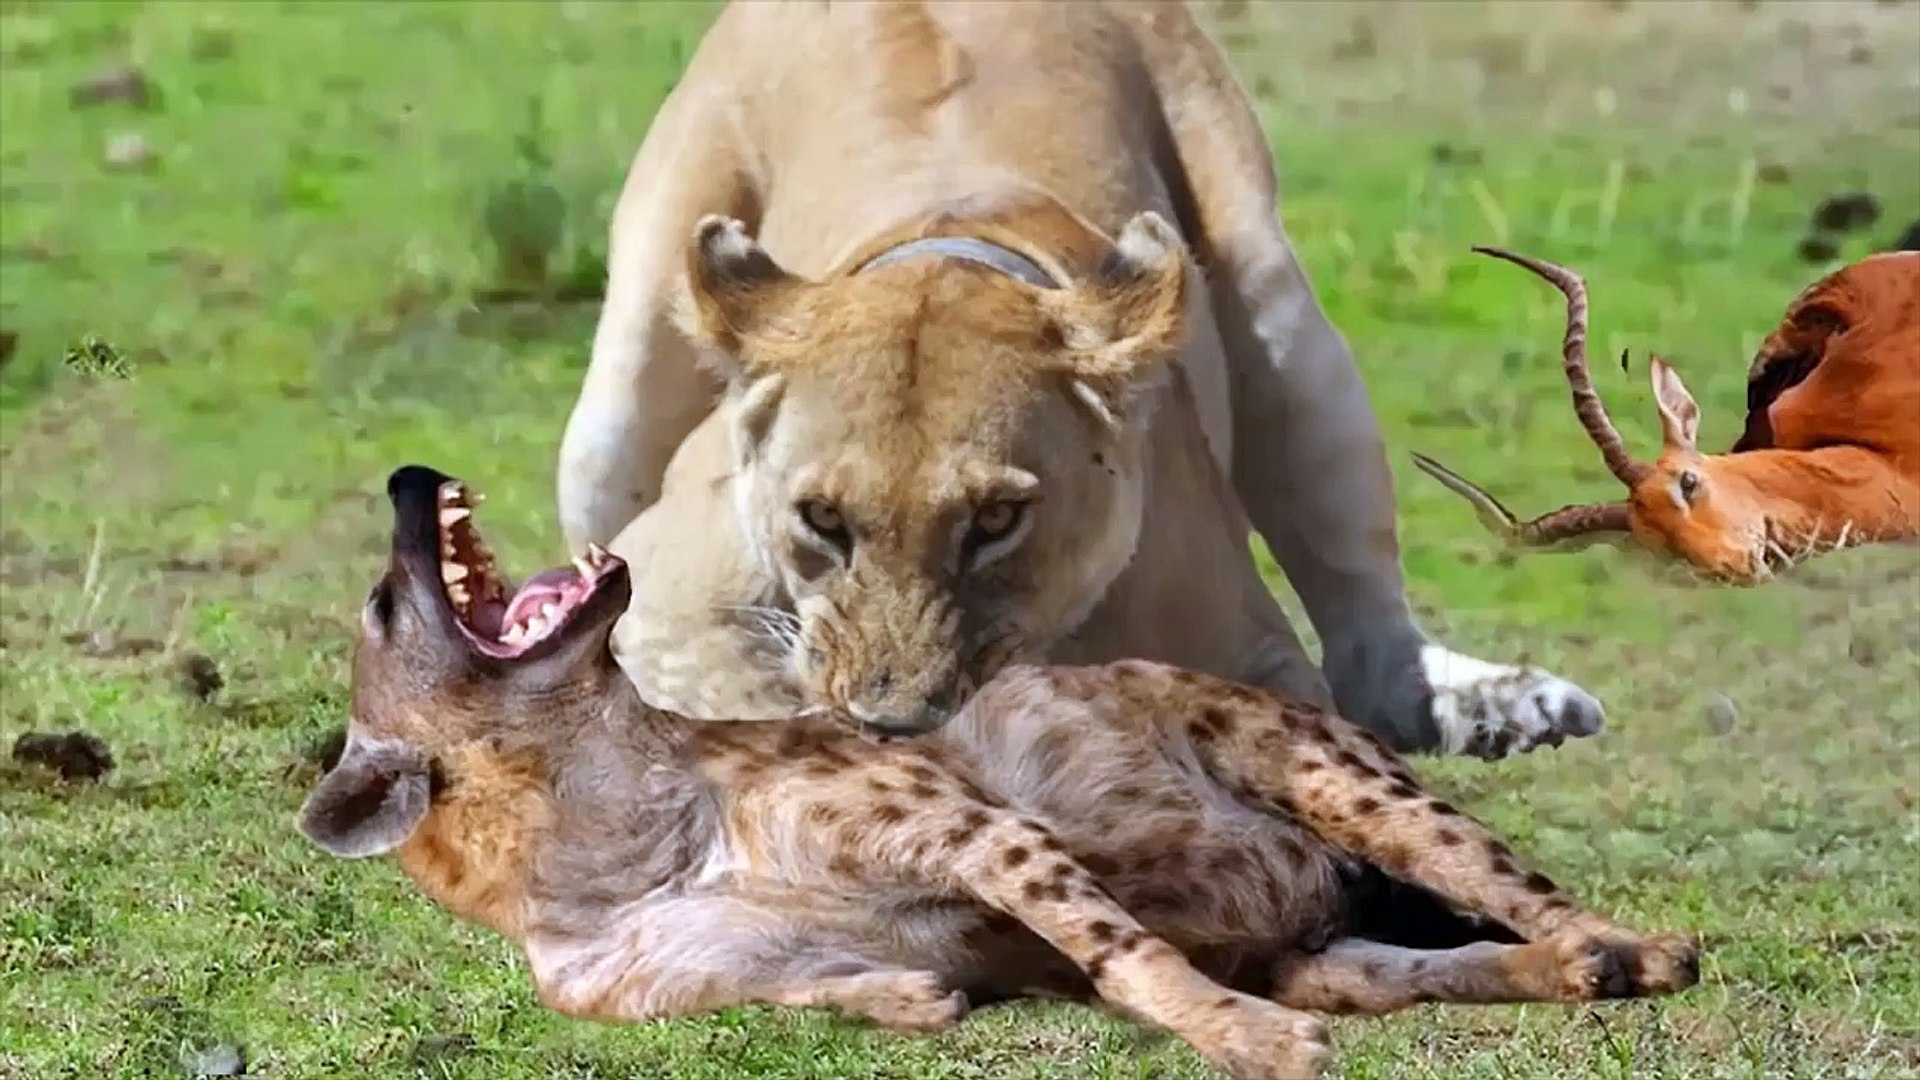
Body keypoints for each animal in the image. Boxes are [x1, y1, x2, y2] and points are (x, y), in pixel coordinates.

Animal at [555, 1, 1604, 757]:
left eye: (995, 519)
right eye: (821, 519)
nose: (895, 723)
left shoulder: (1259, 659)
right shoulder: (668, 590)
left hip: (1278, 300)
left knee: (1369, 624)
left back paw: (1506, 709)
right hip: (615, 404)